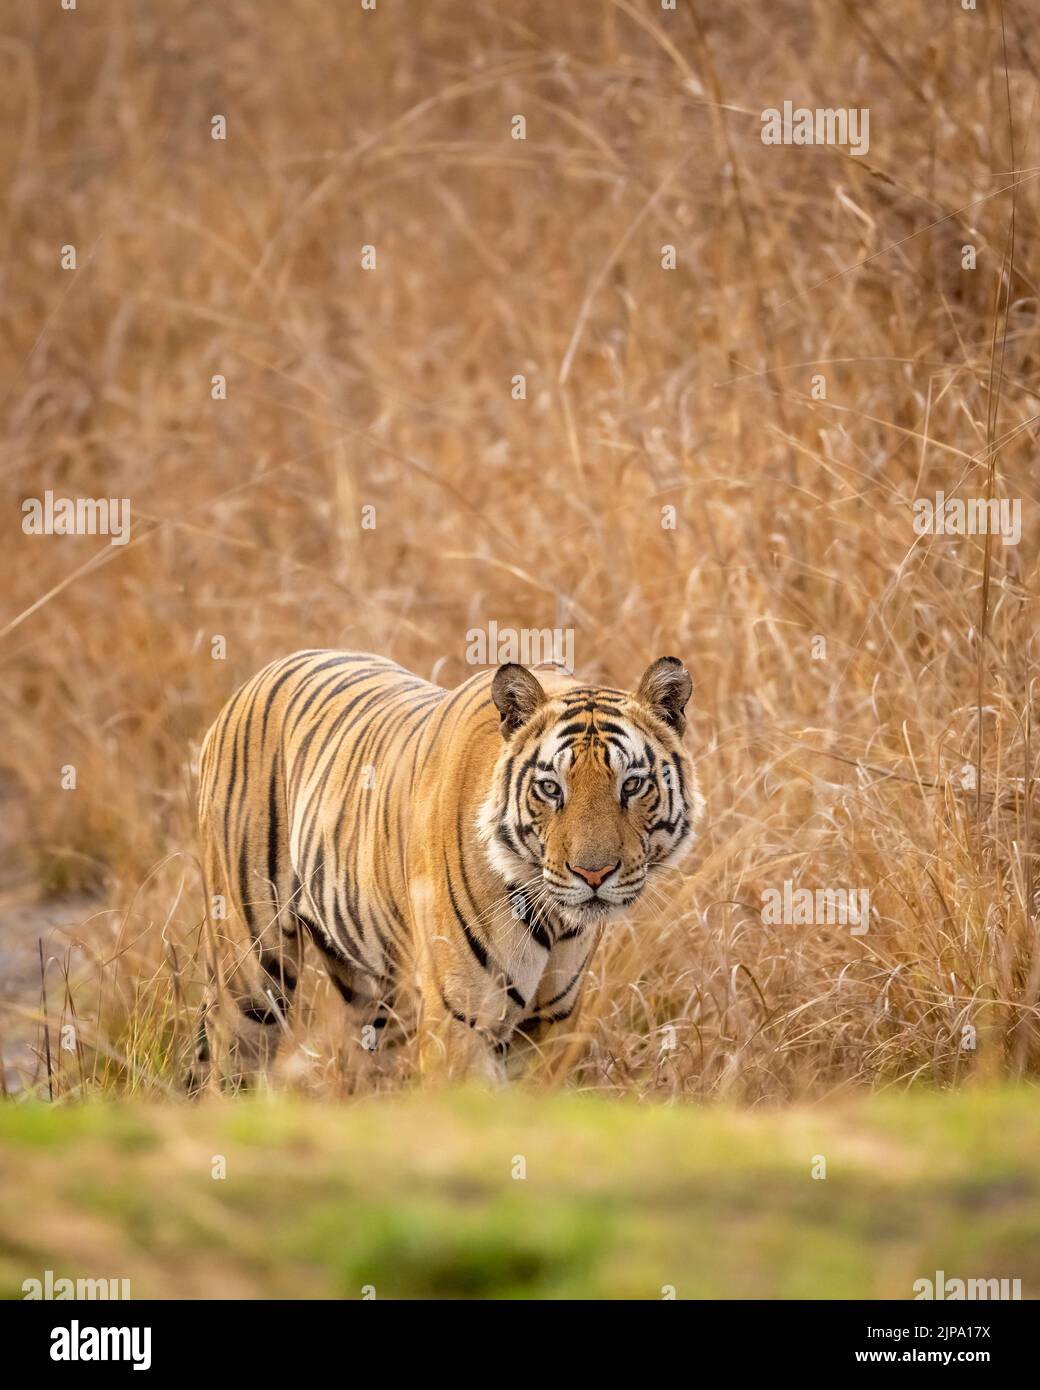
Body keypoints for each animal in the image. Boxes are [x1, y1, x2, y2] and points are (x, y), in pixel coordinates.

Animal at [189, 649, 704, 1091]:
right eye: (550, 788)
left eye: (632, 785)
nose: (593, 874)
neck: (553, 920)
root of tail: (256, 678)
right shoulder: (462, 1019)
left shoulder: (550, 1022)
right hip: (250, 972)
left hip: (374, 991)